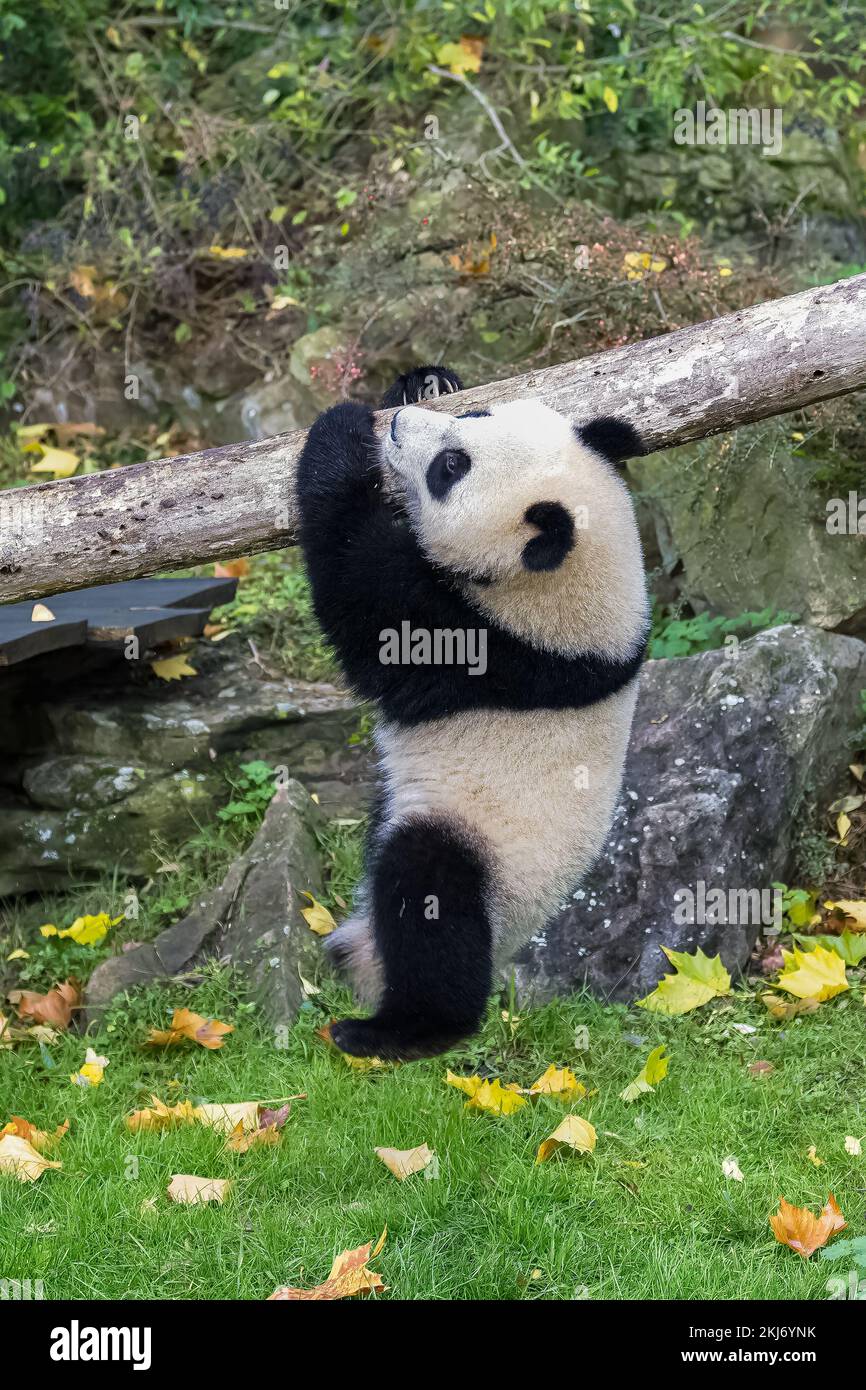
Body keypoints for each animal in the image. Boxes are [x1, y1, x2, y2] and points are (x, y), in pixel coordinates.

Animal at [295, 364, 648, 1059]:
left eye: (450, 467)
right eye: (475, 413)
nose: (399, 429)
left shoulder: (492, 648)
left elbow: (362, 595)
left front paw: (338, 436)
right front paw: (422, 382)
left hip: (489, 856)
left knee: (430, 890)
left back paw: (399, 1029)